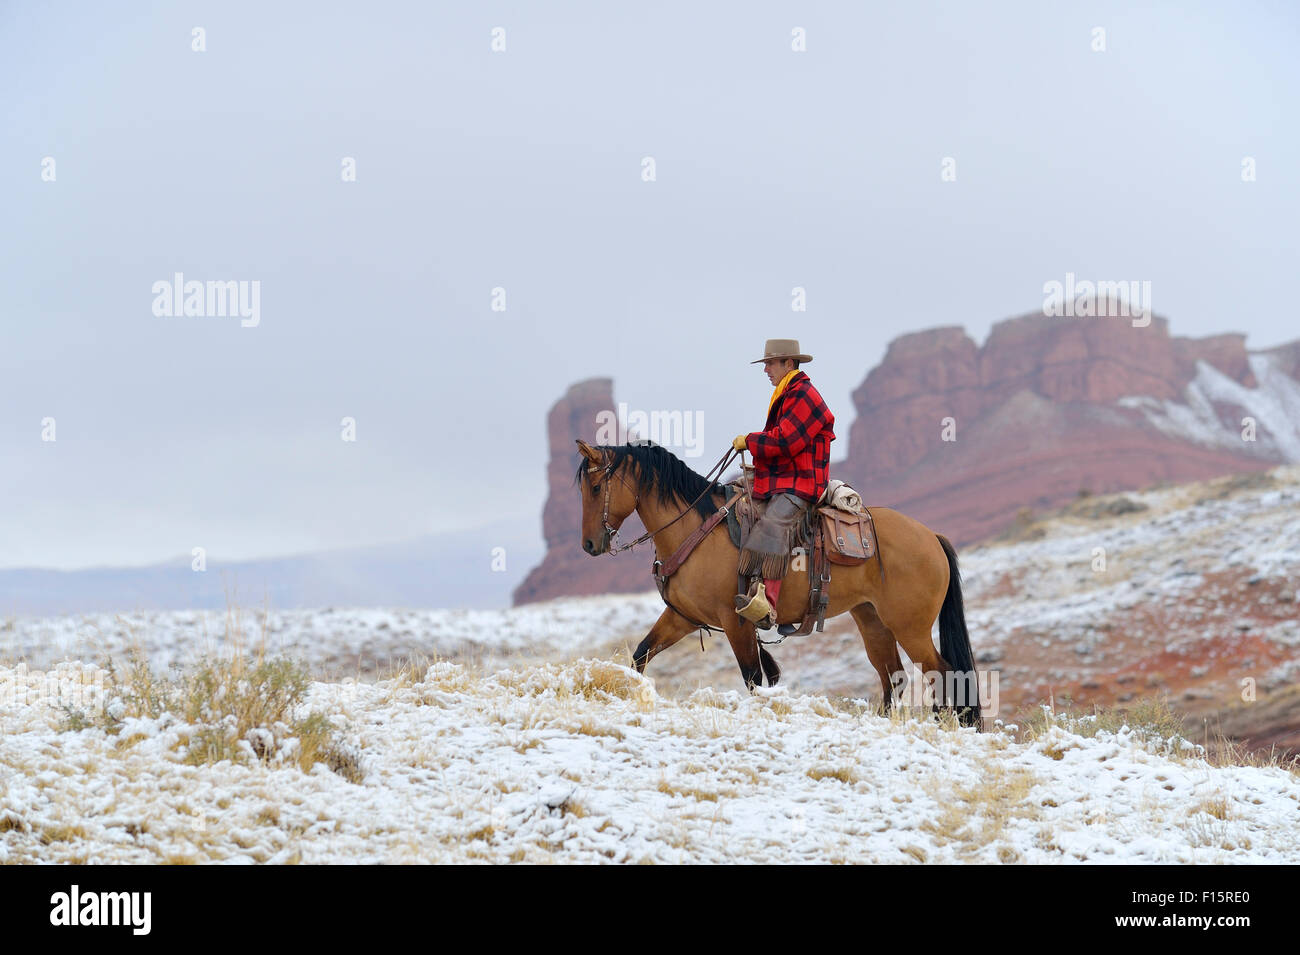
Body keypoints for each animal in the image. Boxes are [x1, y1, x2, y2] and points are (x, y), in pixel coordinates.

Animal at [574, 439, 982, 728]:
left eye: (594, 487)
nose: (590, 545)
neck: (694, 528)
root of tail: (931, 537)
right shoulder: (683, 619)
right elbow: (641, 655)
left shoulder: (736, 622)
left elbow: (754, 679)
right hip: (872, 619)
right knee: (892, 675)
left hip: (910, 626)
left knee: (941, 671)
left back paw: (946, 724)